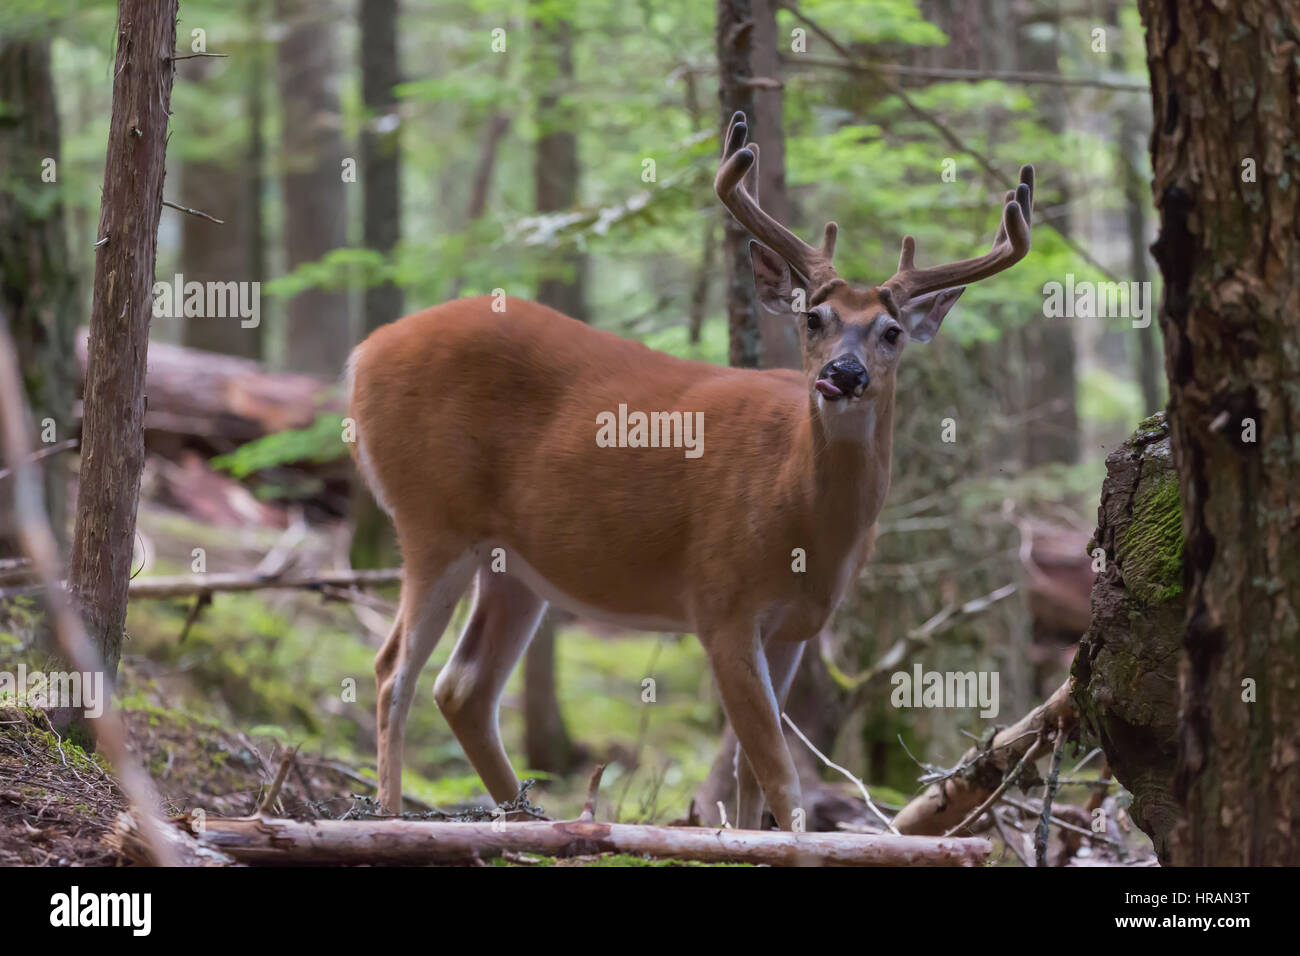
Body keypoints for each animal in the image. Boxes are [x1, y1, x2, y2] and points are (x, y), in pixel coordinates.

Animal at [346, 111, 1034, 830]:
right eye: (814, 318)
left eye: (892, 331)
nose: (843, 374)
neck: (797, 507)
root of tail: (362, 357)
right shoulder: (719, 602)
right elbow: (781, 777)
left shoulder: (796, 626)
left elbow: (750, 778)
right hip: (430, 516)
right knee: (393, 670)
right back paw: (388, 816)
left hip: (514, 563)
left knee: (462, 688)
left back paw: (533, 823)